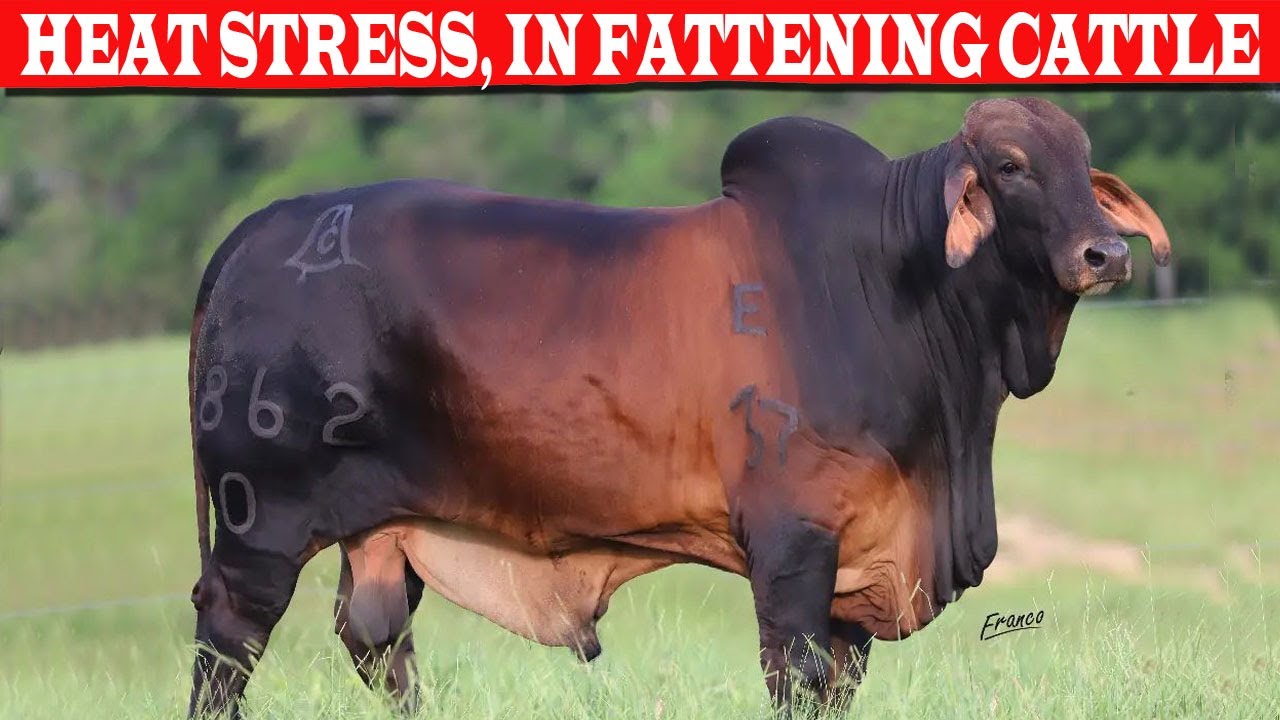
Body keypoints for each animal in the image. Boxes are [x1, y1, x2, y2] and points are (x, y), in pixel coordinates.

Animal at [186, 97, 1170, 717]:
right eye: (1010, 167)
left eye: (1086, 166)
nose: (1108, 253)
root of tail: (257, 231)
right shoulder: (793, 550)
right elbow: (794, 681)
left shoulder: (858, 575)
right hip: (259, 525)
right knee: (227, 647)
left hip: (379, 542)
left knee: (378, 643)